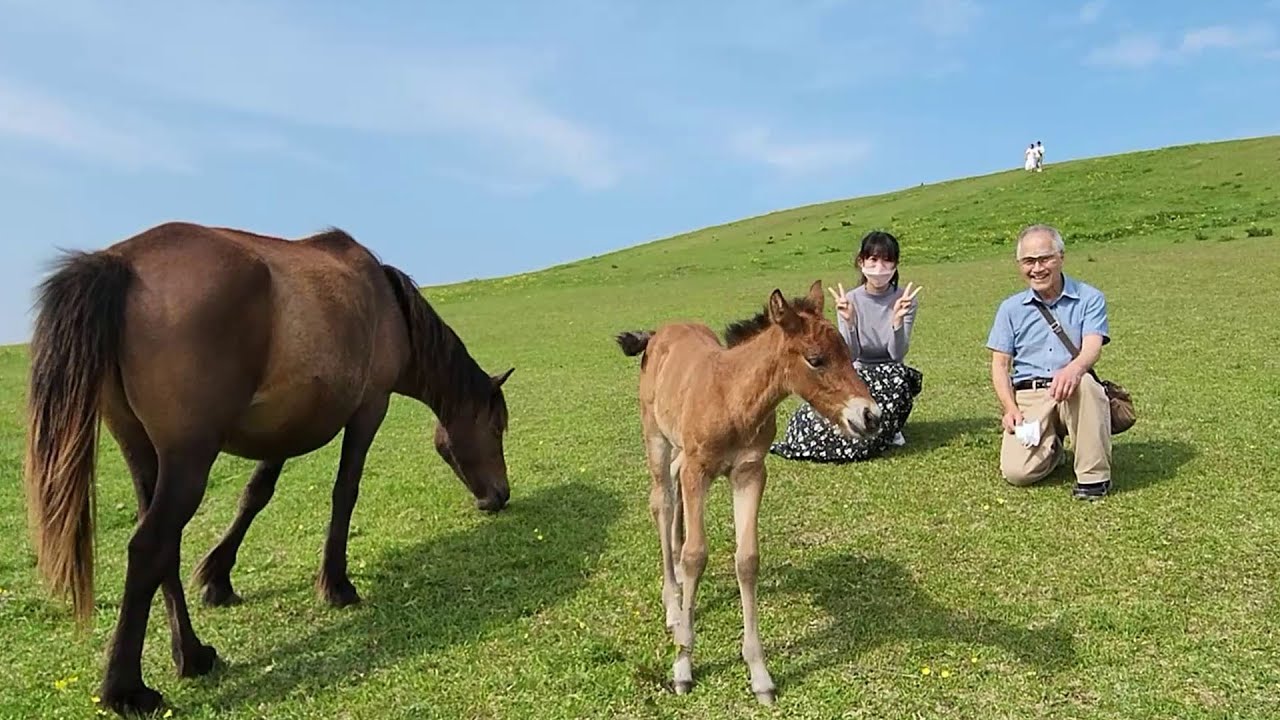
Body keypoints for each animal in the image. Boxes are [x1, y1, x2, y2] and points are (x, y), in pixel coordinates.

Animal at [22, 221, 516, 716]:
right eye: (496, 428)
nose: (501, 495)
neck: (386, 301)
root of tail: (121, 262)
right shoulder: (369, 410)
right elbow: (345, 492)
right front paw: (336, 585)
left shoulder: (285, 428)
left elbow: (256, 494)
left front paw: (218, 577)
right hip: (189, 459)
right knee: (149, 546)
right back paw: (126, 689)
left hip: (141, 451)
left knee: (164, 548)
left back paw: (192, 654)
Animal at [614, 280, 881, 704]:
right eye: (816, 359)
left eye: (848, 352)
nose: (871, 416)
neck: (733, 398)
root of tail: (658, 333)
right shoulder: (699, 470)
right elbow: (696, 555)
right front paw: (683, 666)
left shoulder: (749, 472)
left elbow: (747, 560)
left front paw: (760, 674)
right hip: (655, 437)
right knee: (662, 501)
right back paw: (673, 604)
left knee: (673, 491)